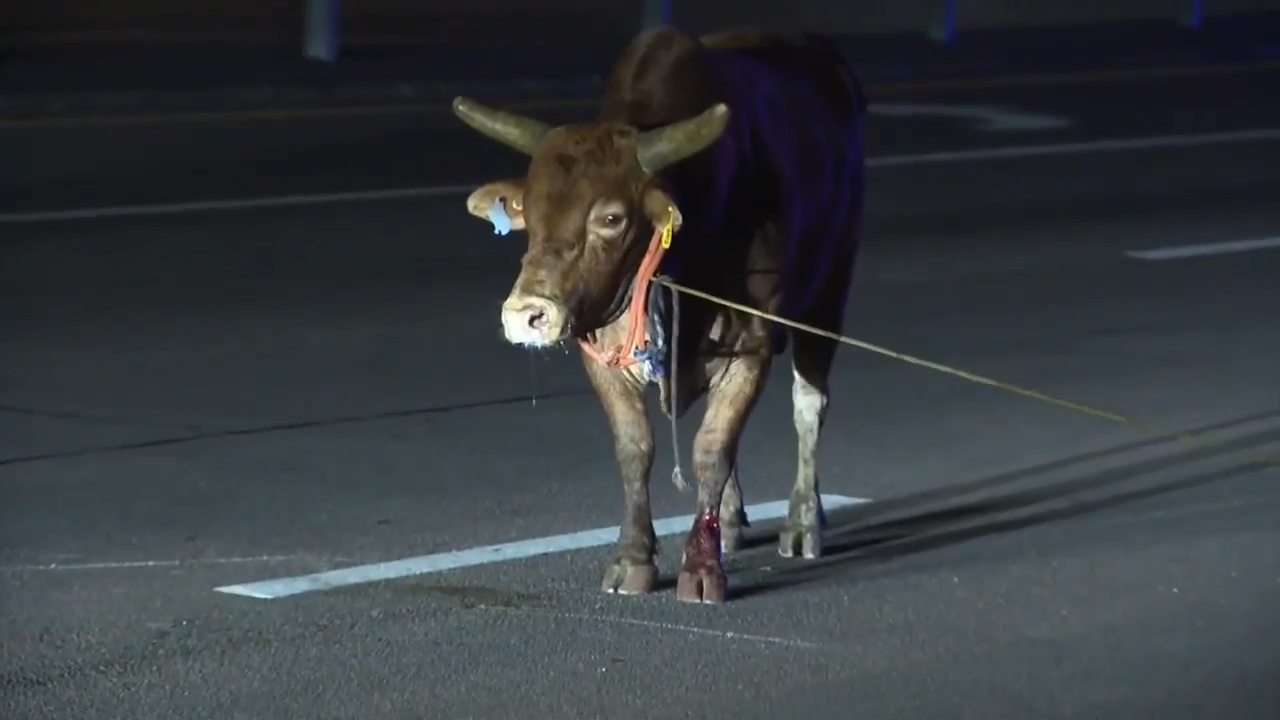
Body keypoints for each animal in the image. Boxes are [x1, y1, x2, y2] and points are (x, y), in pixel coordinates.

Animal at [451, 26, 867, 604]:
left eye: (610, 218)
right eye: (527, 213)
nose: (527, 314)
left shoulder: (753, 343)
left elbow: (712, 448)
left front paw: (702, 566)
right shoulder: (601, 350)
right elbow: (637, 448)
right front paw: (633, 559)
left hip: (829, 290)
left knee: (808, 407)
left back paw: (804, 520)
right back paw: (731, 522)